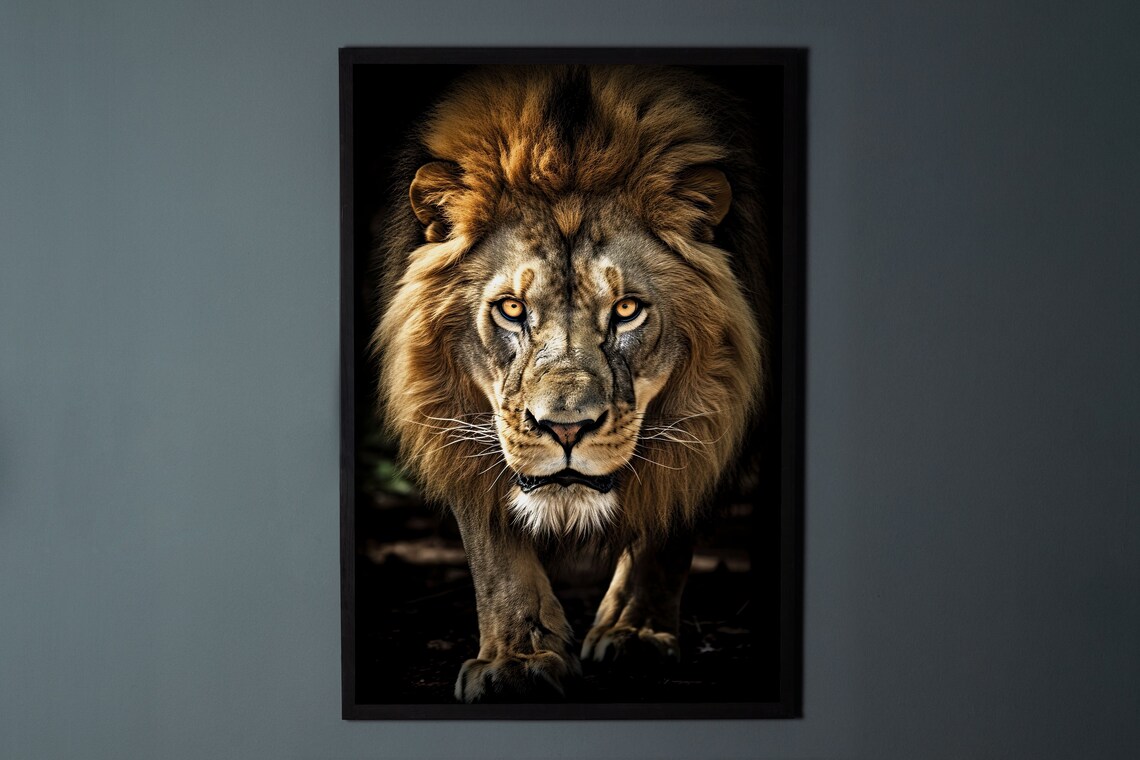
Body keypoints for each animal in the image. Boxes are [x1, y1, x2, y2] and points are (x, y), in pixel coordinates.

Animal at [372, 65, 769, 702]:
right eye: (511, 309)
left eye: (627, 309)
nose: (564, 430)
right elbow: (492, 544)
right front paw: (517, 659)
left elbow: (672, 519)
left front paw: (638, 633)